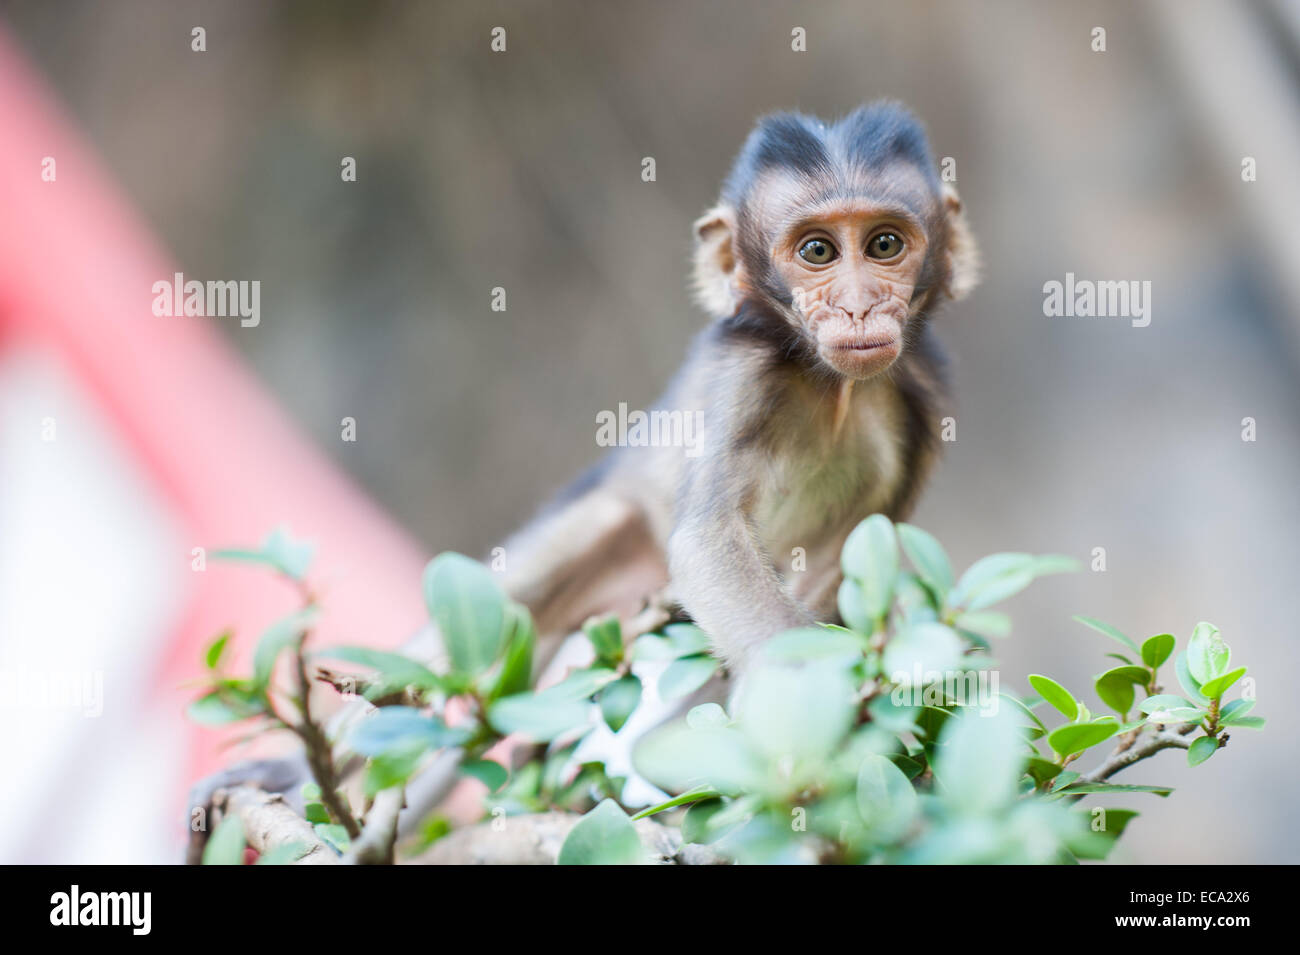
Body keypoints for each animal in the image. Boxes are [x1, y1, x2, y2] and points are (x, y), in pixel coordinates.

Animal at [187, 102, 978, 856]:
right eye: (817, 251)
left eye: (884, 245)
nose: (858, 307)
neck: (828, 381)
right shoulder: (743, 373)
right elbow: (706, 542)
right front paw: (808, 704)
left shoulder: (925, 389)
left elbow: (855, 556)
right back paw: (296, 769)